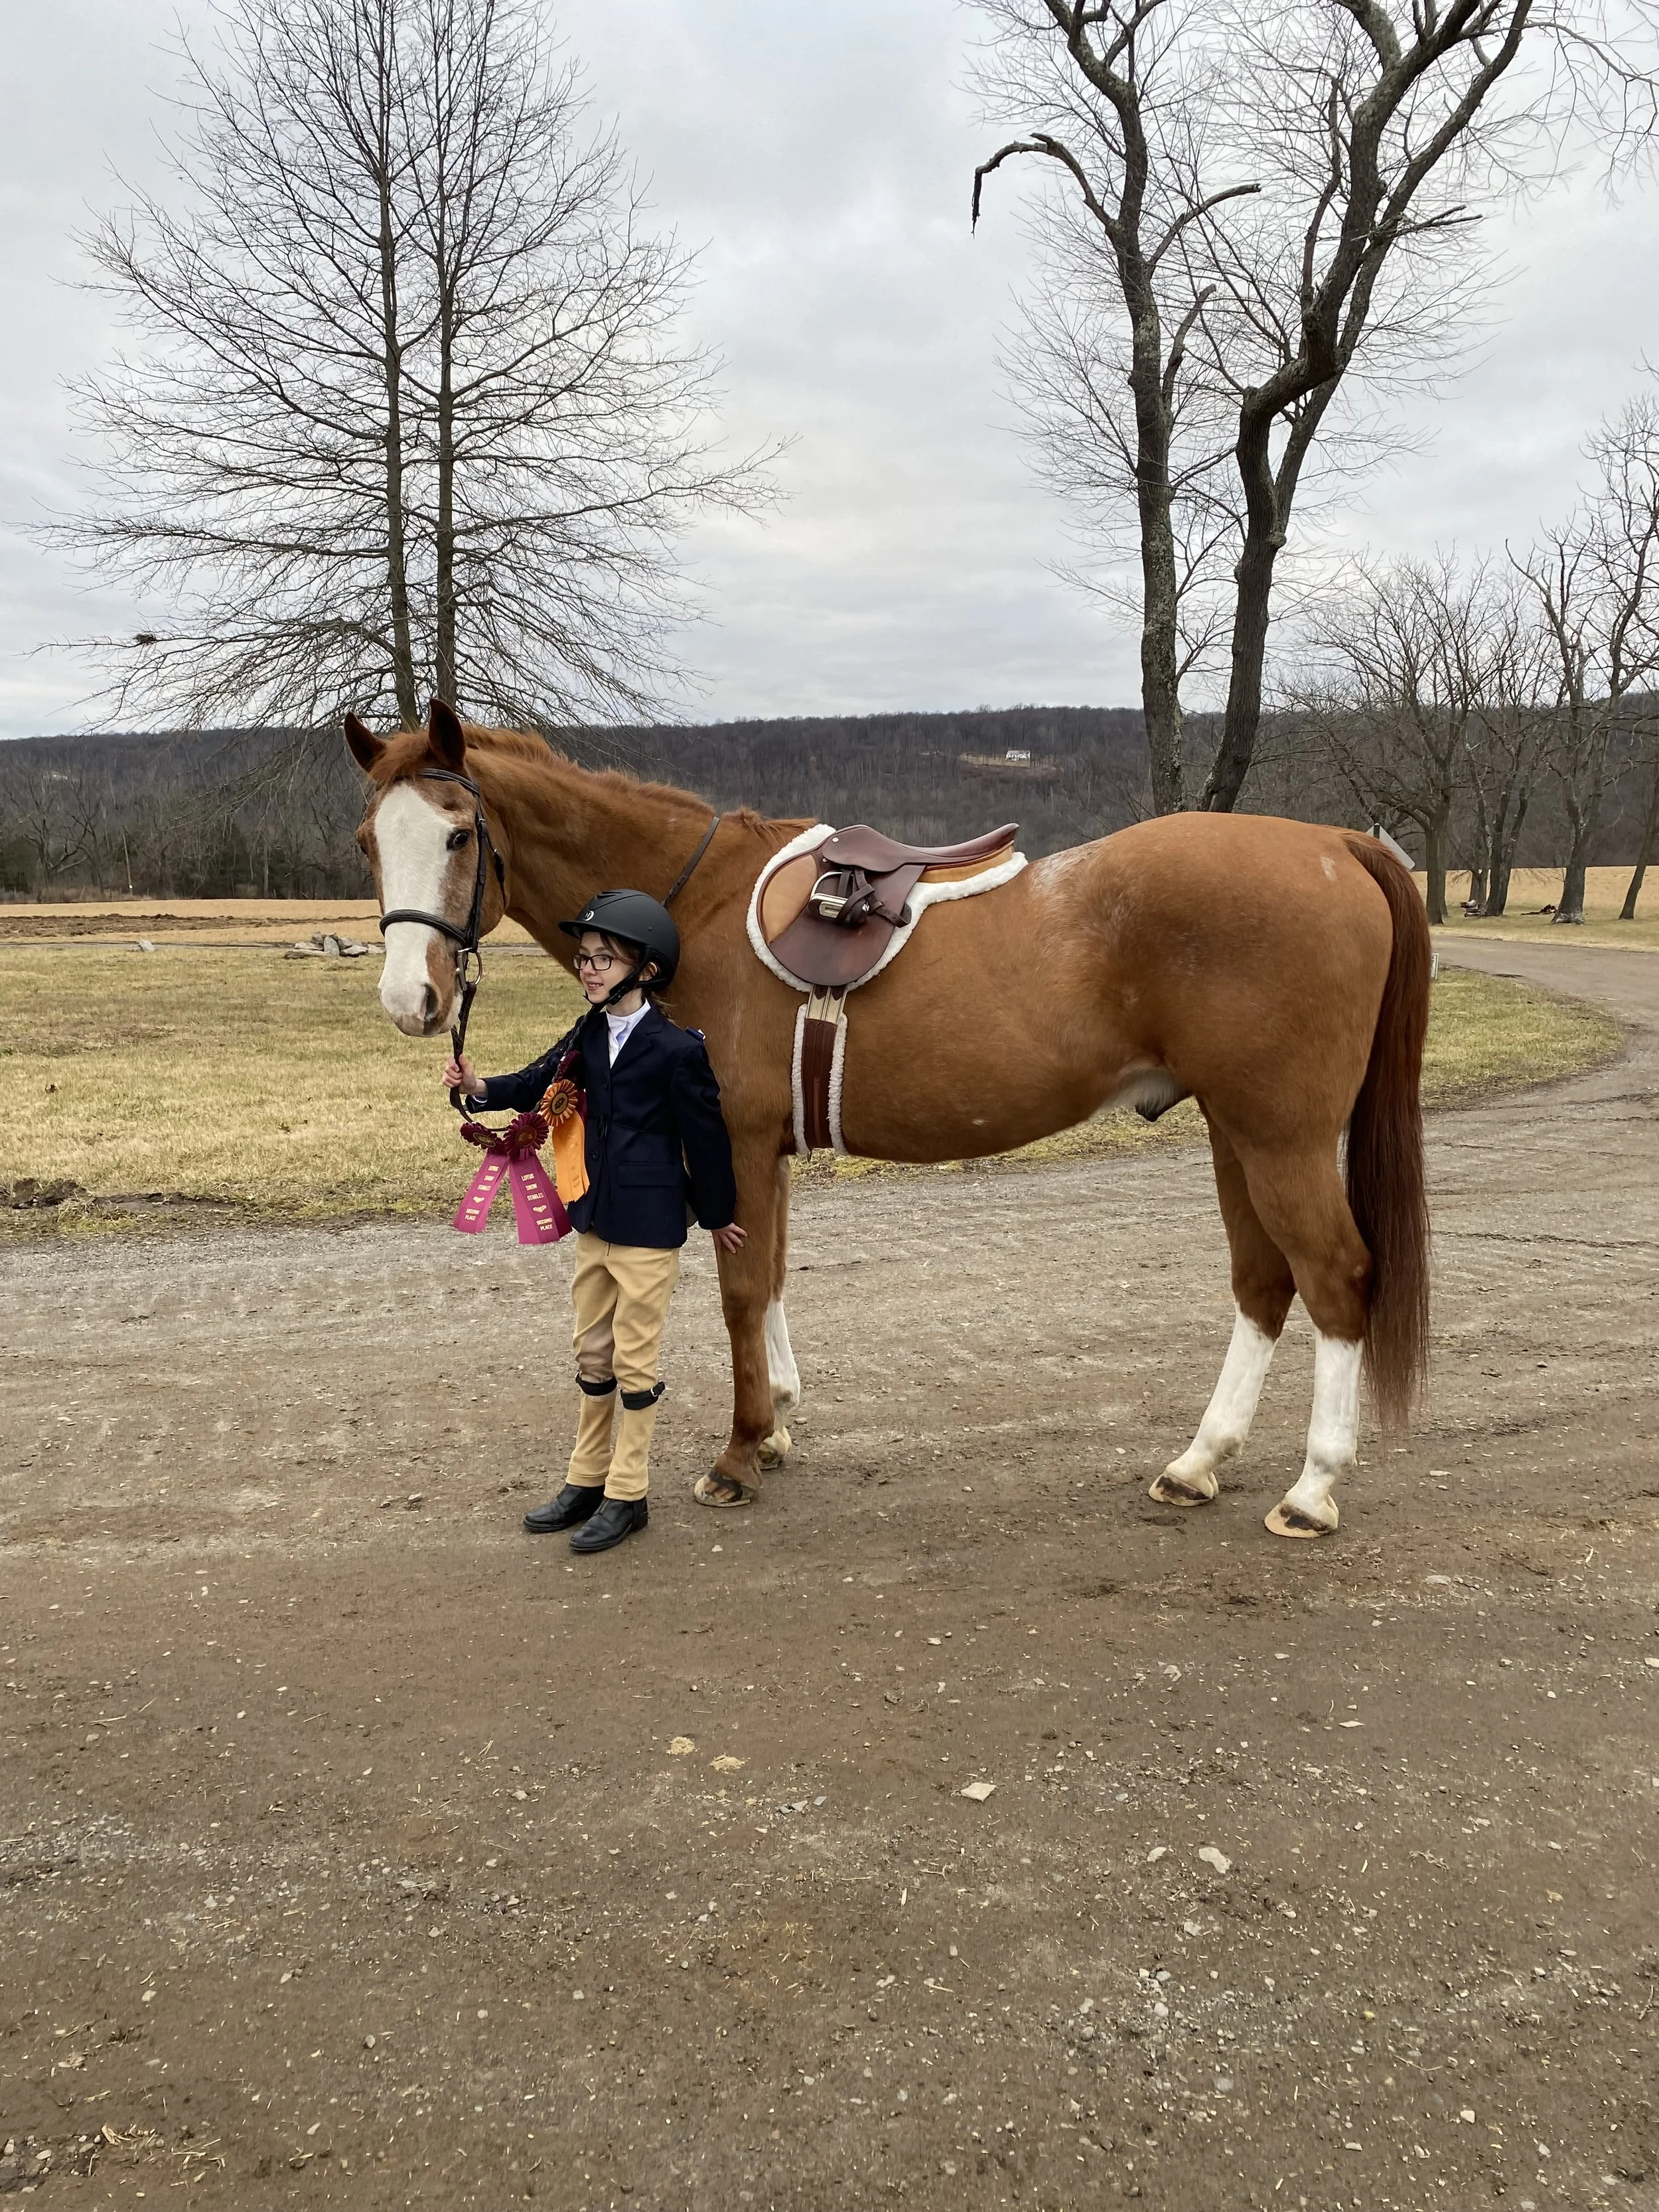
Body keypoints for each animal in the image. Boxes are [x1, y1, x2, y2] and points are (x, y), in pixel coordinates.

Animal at [346, 699, 1431, 1537]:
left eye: (457, 835)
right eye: (368, 843)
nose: (410, 1000)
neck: (692, 909)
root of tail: (1334, 844)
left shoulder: (737, 1141)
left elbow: (742, 1292)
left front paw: (739, 1453)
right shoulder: (761, 1150)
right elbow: (773, 1279)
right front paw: (778, 1422)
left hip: (1281, 1138)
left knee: (1335, 1276)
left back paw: (1312, 1488)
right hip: (1234, 1133)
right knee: (1263, 1282)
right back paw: (1200, 1462)